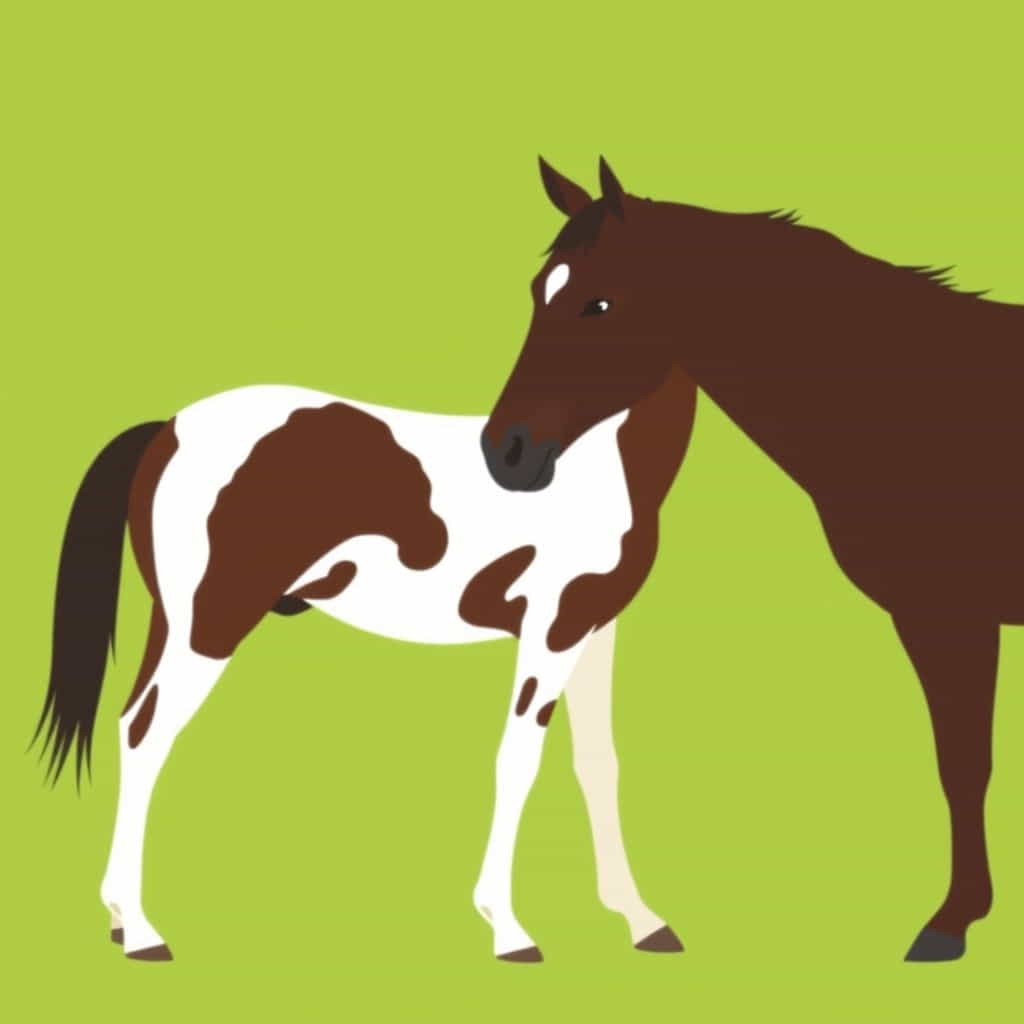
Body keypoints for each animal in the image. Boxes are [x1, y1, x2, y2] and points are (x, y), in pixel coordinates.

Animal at [35, 379, 695, 963]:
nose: (518, 454)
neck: (602, 466)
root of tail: (169, 428)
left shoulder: (591, 631)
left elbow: (598, 765)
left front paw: (641, 920)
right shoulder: (550, 631)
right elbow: (519, 761)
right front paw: (508, 929)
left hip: (172, 624)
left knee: (132, 723)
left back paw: (120, 920)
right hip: (207, 629)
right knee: (145, 732)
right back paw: (141, 930)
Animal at [481, 157, 1024, 962]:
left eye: (598, 304)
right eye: (536, 290)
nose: (505, 451)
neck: (917, 400)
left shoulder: (948, 615)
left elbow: (962, 764)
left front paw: (951, 921)